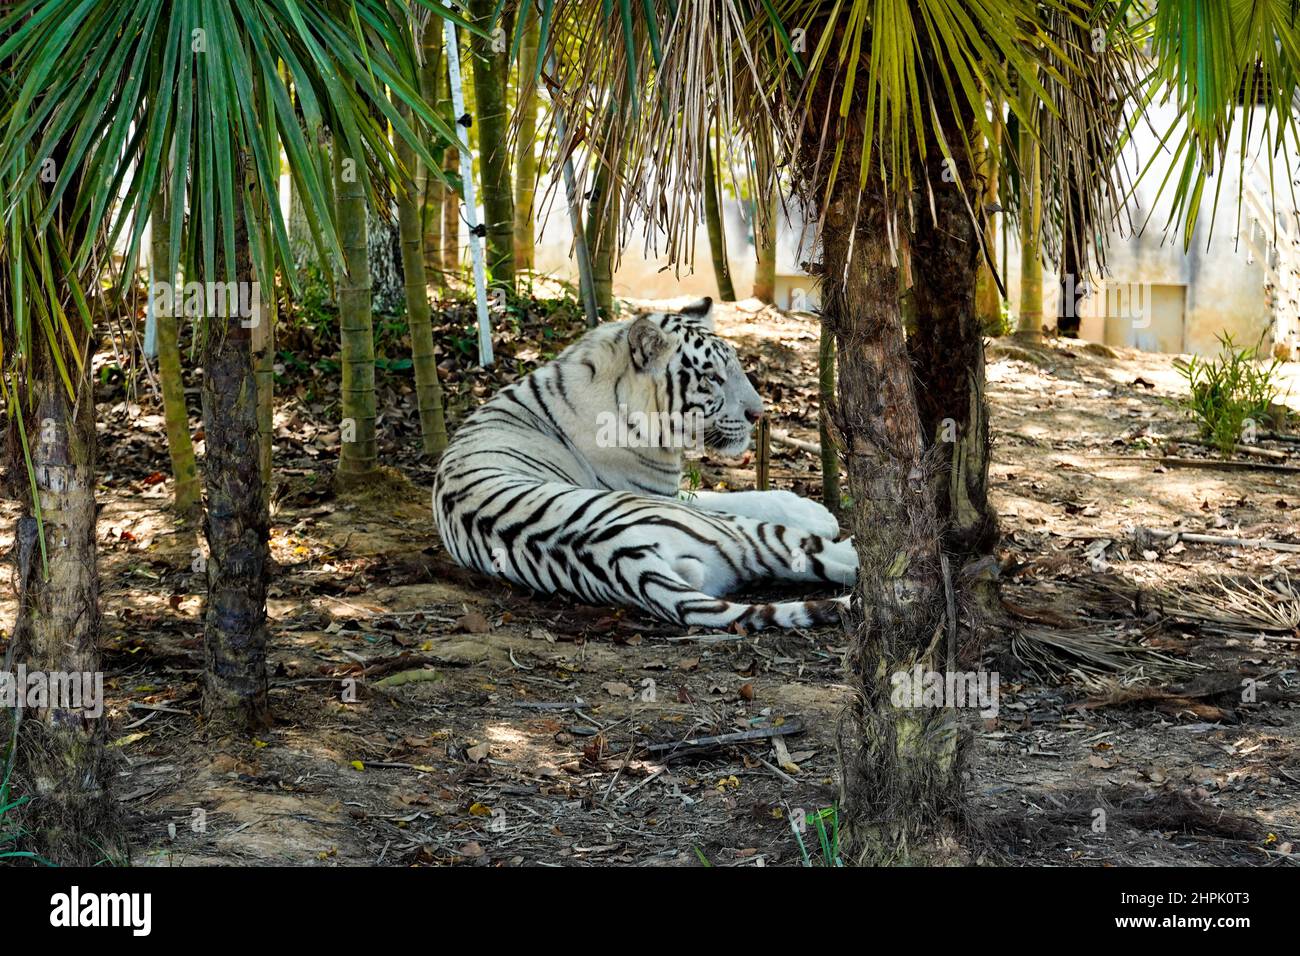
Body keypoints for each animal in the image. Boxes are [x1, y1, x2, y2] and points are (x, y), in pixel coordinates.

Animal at [432, 297, 857, 631]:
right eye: (711, 377)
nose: (758, 413)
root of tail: (625, 558)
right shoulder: (661, 489)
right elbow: (748, 496)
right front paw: (817, 513)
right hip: (732, 530)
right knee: (827, 557)